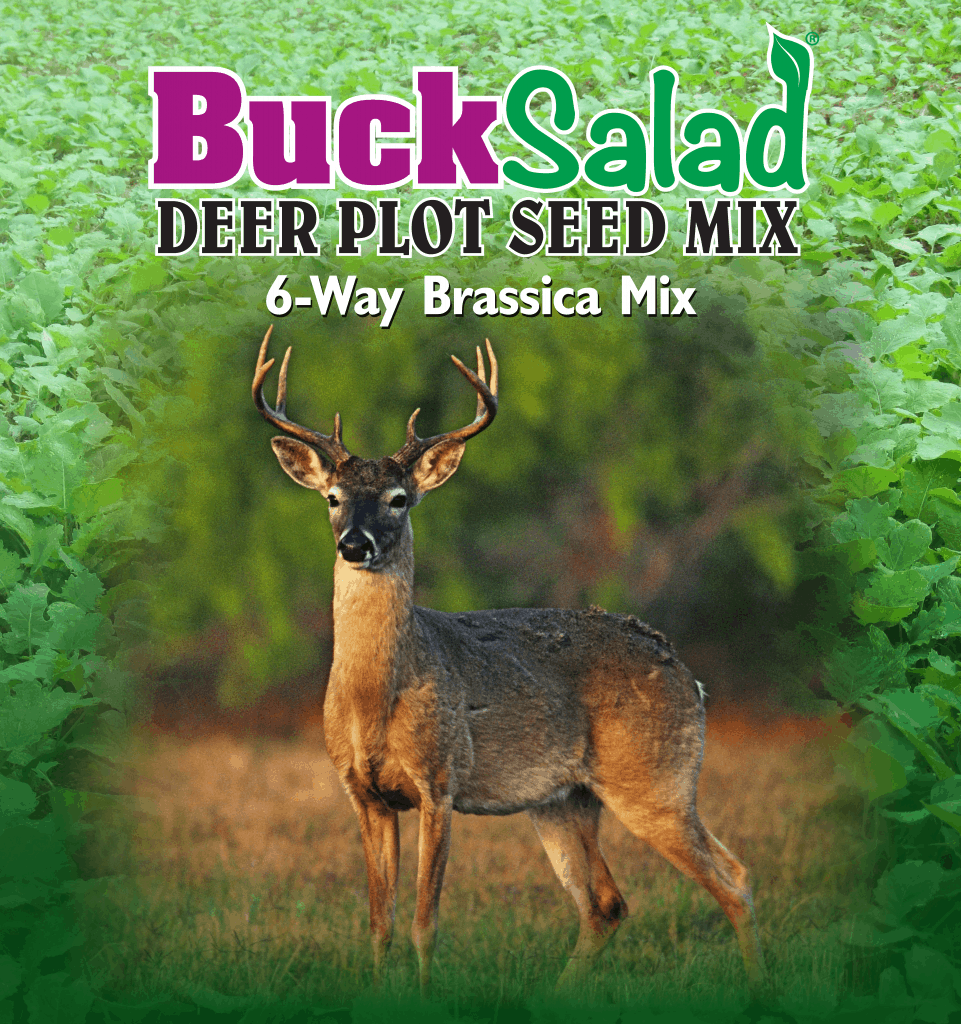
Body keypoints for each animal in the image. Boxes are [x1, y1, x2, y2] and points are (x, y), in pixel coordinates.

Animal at [252, 326, 767, 996]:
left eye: (399, 499)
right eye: (333, 498)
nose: (354, 544)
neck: (373, 698)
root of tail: (688, 672)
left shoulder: (440, 780)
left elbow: (424, 922)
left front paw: (424, 997)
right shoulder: (363, 794)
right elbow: (379, 923)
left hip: (656, 779)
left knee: (732, 881)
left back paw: (760, 990)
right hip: (563, 799)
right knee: (609, 903)